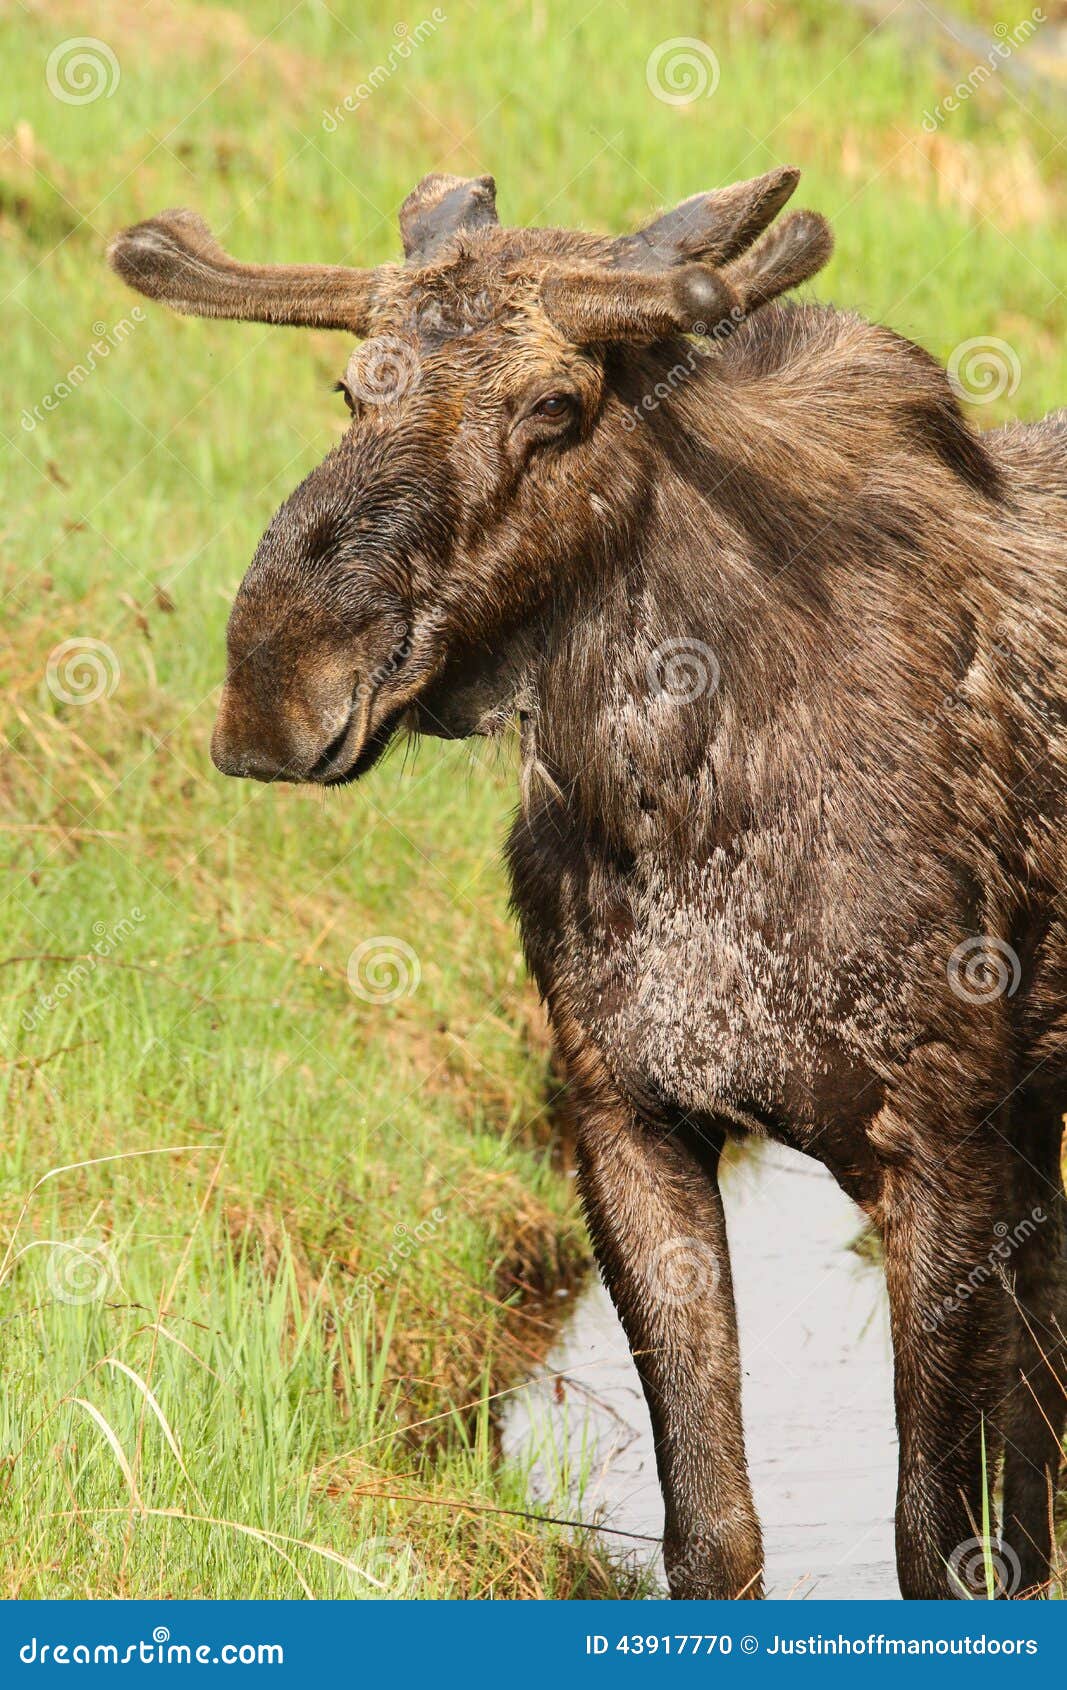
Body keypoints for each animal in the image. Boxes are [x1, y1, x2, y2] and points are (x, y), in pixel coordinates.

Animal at [108, 166, 1066, 1600]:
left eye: (555, 406)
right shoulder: (621, 1115)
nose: (275, 683)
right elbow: (710, 1532)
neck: (676, 806)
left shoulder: (947, 1147)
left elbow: (940, 1542)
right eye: (350, 386)